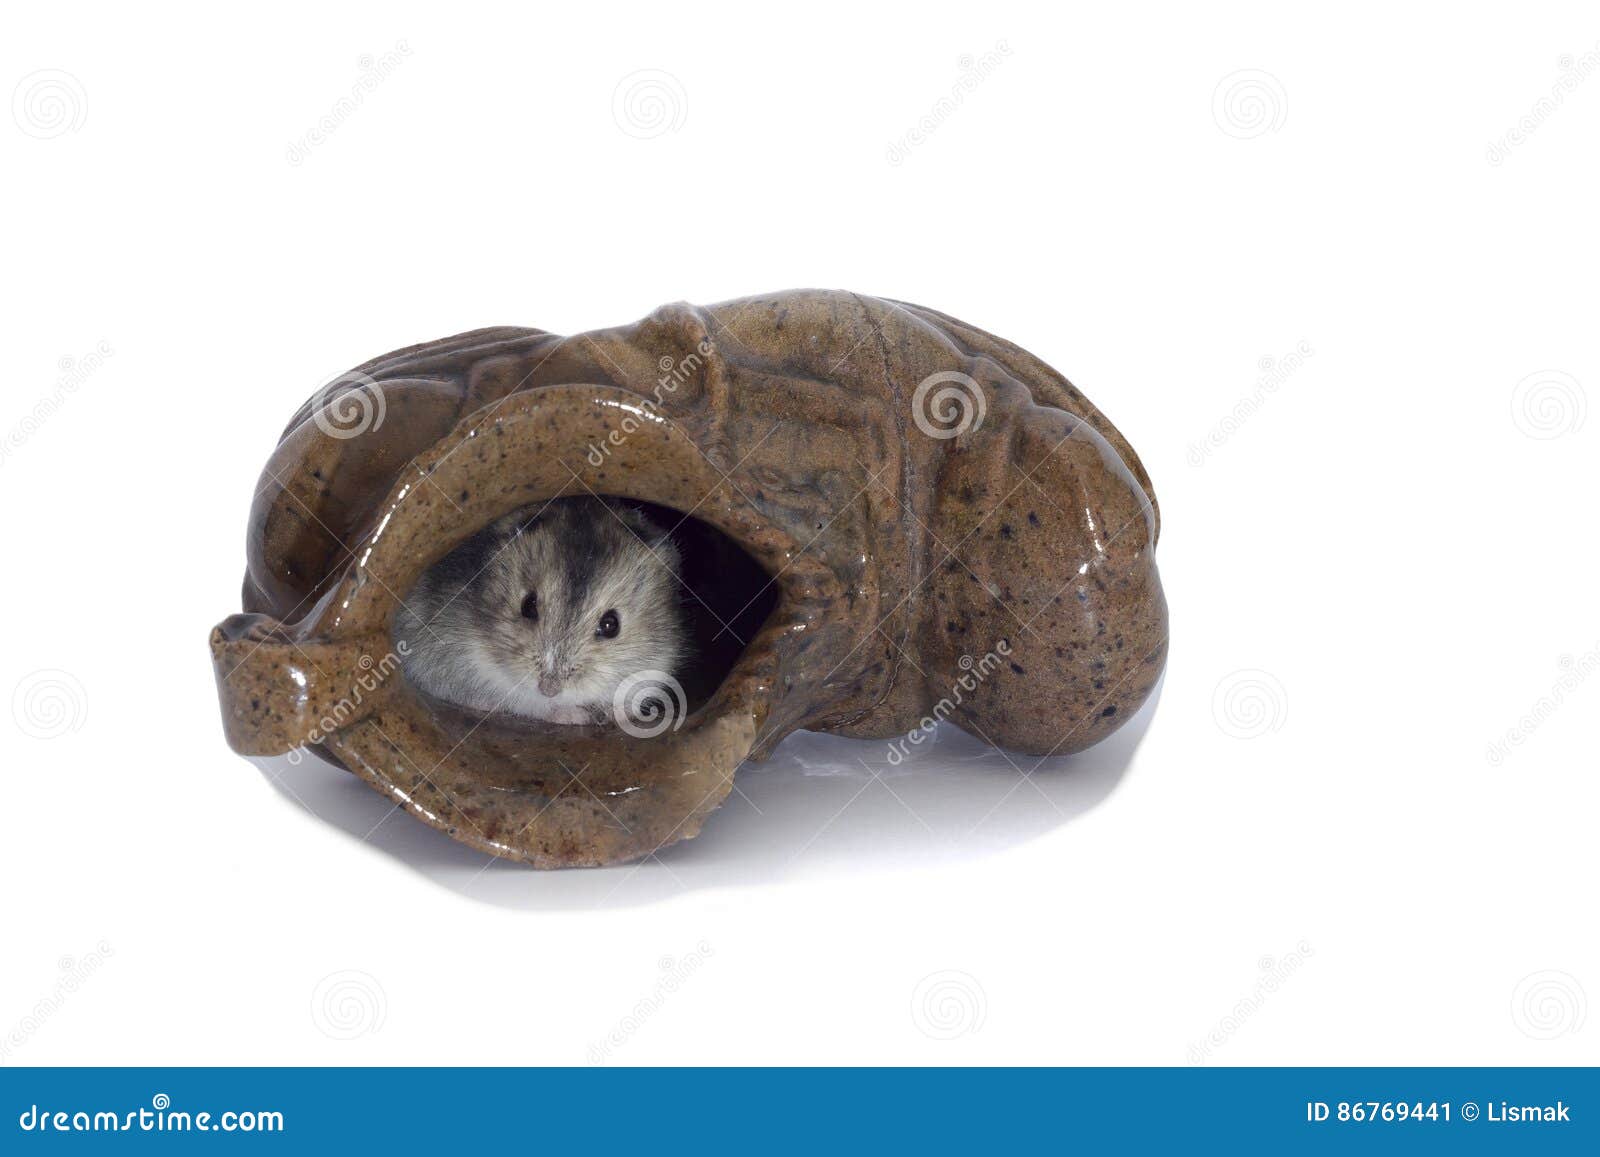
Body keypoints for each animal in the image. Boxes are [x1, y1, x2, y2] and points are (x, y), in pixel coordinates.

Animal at [394, 497, 688, 726]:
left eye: (611, 624)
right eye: (528, 606)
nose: (549, 689)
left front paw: (617, 714)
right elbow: (530, 704)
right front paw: (578, 717)